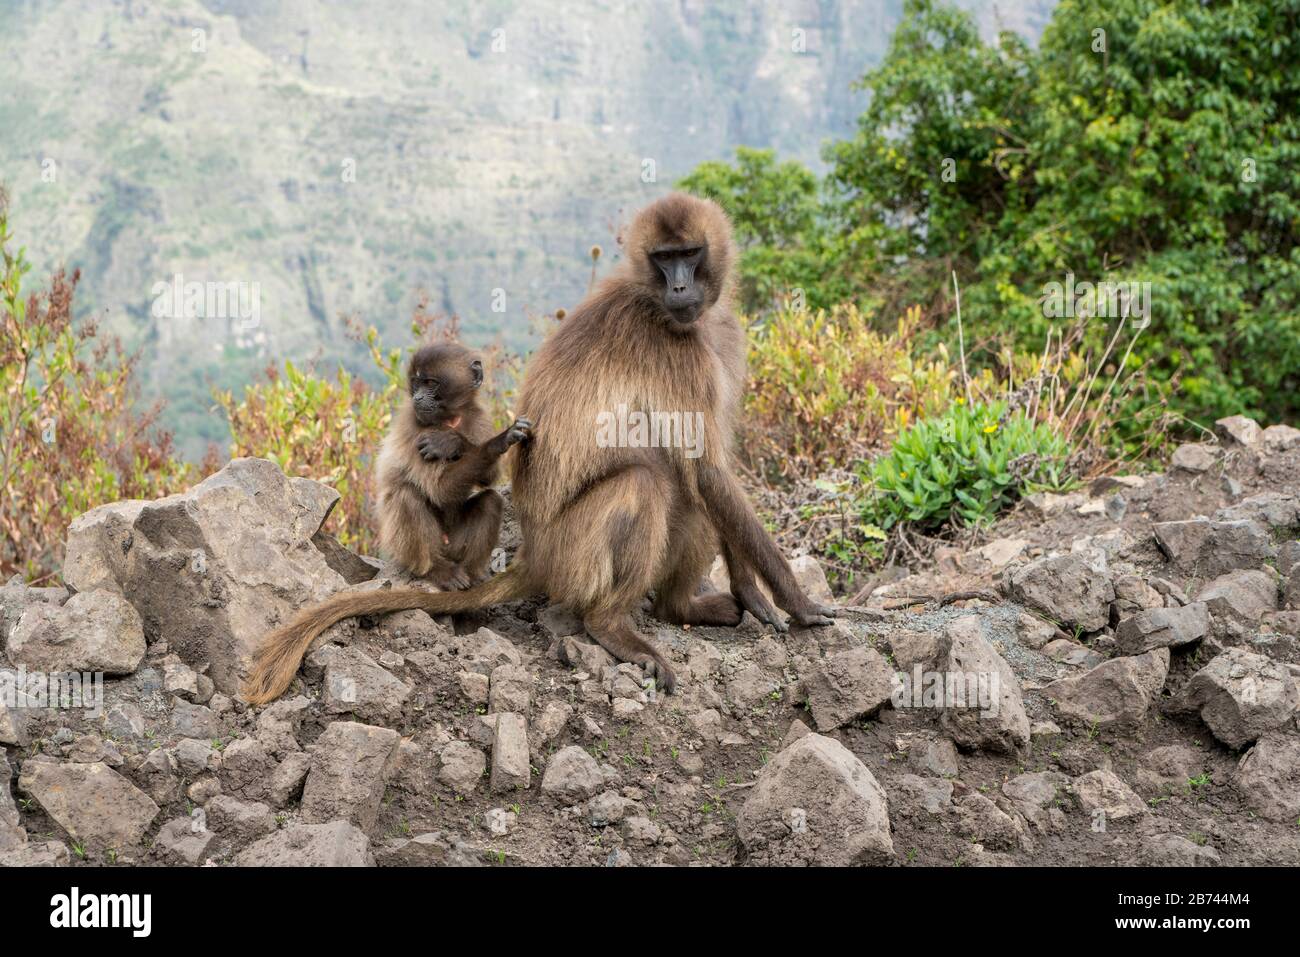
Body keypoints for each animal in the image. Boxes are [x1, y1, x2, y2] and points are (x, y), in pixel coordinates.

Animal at [374, 341, 531, 590]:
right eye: (416, 382)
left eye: (430, 383)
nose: (417, 398)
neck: (450, 418)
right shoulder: (415, 428)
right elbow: (440, 490)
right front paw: (497, 442)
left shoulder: (478, 418)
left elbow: (488, 478)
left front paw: (452, 441)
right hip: (413, 545)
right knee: (407, 495)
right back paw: (437, 570)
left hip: (456, 545)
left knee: (491, 501)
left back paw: (473, 574)